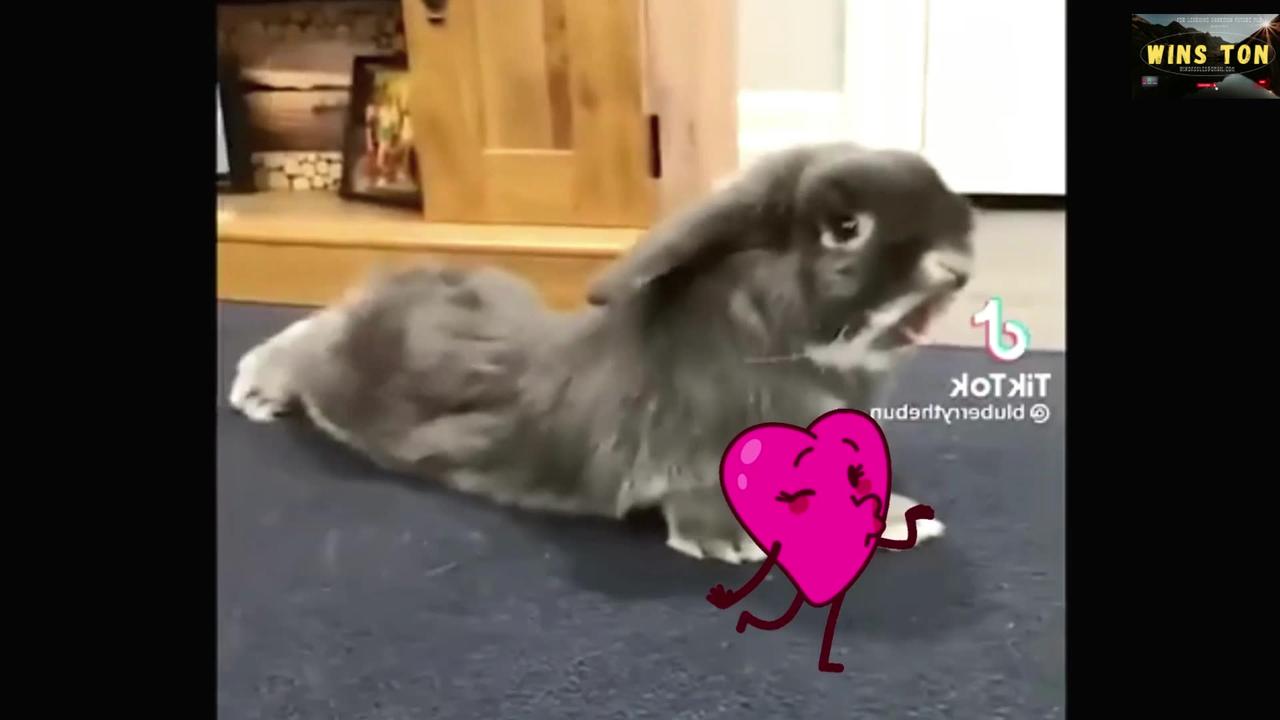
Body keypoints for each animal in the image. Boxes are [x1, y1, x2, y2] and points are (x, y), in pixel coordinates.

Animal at [228, 142, 976, 564]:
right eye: (846, 228)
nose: (958, 263)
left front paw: (906, 516)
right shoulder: (688, 454)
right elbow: (700, 492)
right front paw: (727, 544)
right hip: (339, 377)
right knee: (300, 343)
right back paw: (255, 390)